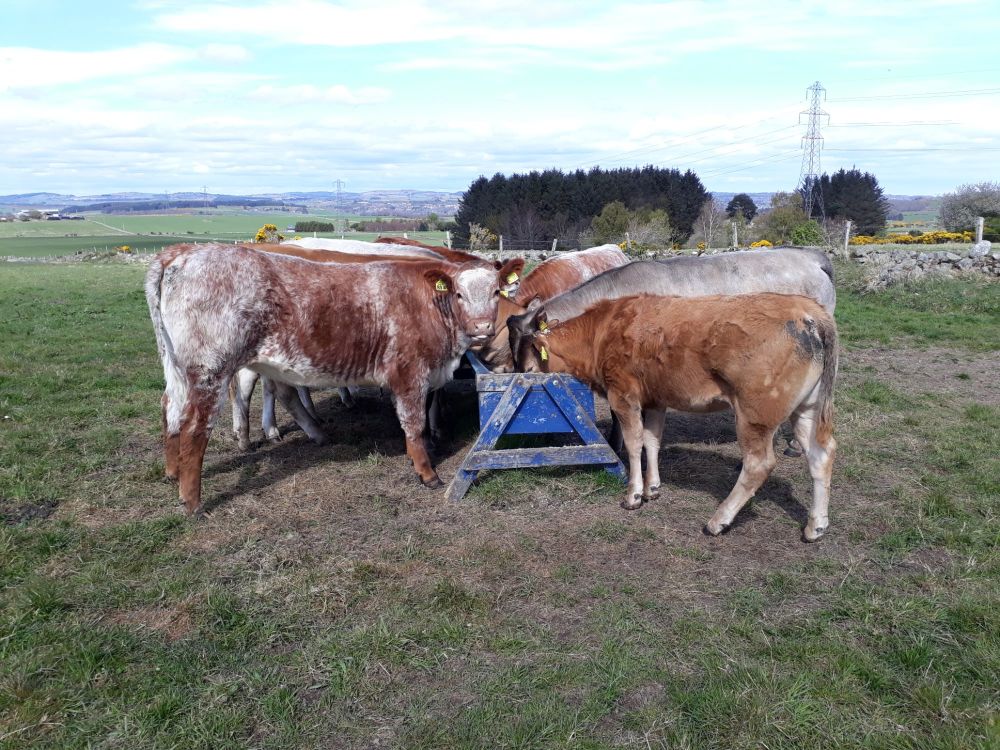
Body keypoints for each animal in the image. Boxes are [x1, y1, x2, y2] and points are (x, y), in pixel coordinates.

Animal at [146, 242, 520, 515]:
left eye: (495, 293)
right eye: (458, 293)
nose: (482, 327)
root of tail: (181, 252)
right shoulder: (409, 373)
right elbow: (414, 424)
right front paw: (427, 473)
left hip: (181, 370)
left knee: (171, 408)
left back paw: (172, 471)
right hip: (210, 370)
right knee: (196, 427)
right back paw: (192, 500)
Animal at [509, 293, 838, 541]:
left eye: (527, 366)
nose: (516, 376)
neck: (601, 332)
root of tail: (808, 311)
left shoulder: (623, 394)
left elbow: (633, 443)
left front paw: (633, 495)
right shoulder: (656, 398)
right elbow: (652, 441)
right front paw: (653, 487)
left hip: (755, 411)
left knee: (759, 464)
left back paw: (718, 521)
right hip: (806, 407)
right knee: (821, 454)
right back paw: (816, 525)